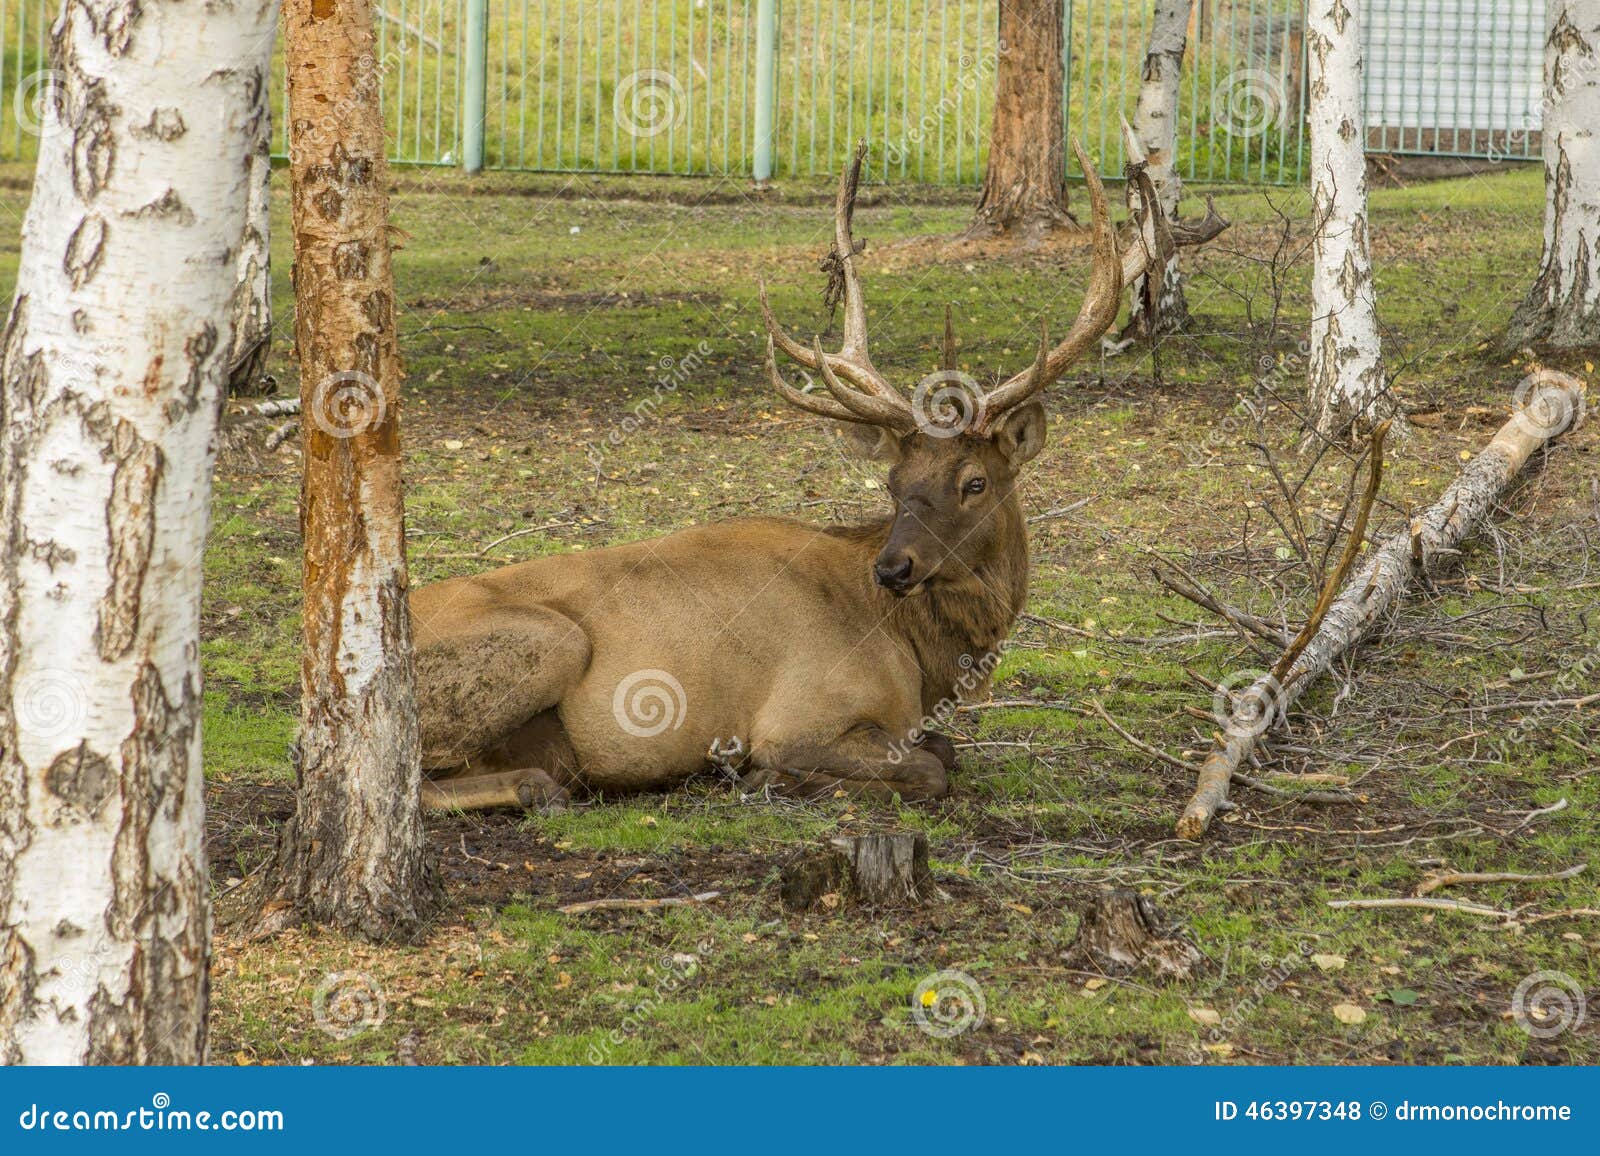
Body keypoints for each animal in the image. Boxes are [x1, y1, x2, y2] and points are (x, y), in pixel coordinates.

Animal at [410, 136, 1226, 812]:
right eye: (893, 486)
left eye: (975, 483)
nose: (893, 568)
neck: (921, 659)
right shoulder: (800, 712)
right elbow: (927, 765)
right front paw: (754, 775)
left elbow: (946, 748)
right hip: (547, 644)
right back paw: (539, 786)